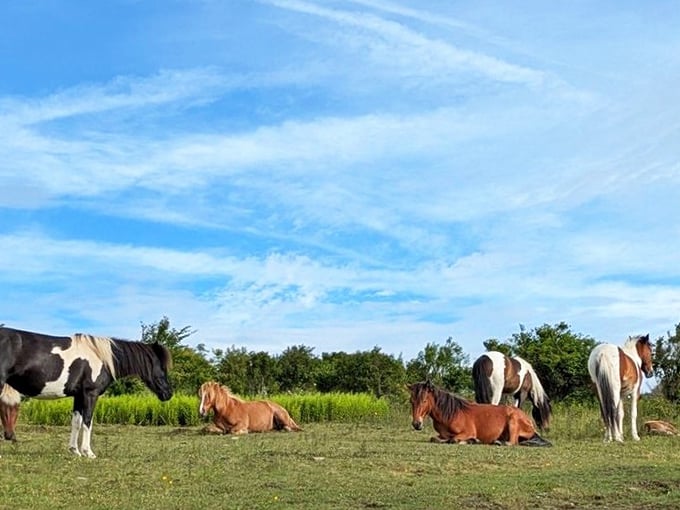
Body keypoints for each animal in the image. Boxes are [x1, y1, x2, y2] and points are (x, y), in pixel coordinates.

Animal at [0, 326, 173, 458]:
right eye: (161, 367)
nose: (169, 393)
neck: (102, 358)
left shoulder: (78, 396)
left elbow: (76, 422)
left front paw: (74, 451)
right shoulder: (91, 394)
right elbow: (88, 421)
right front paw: (88, 452)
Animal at [407, 380, 551, 446]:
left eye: (424, 400)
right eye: (411, 401)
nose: (416, 424)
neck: (452, 413)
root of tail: (529, 421)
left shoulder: (467, 432)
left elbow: (453, 439)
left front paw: (472, 440)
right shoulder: (441, 434)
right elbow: (435, 438)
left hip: (513, 421)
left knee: (512, 442)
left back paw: (498, 442)